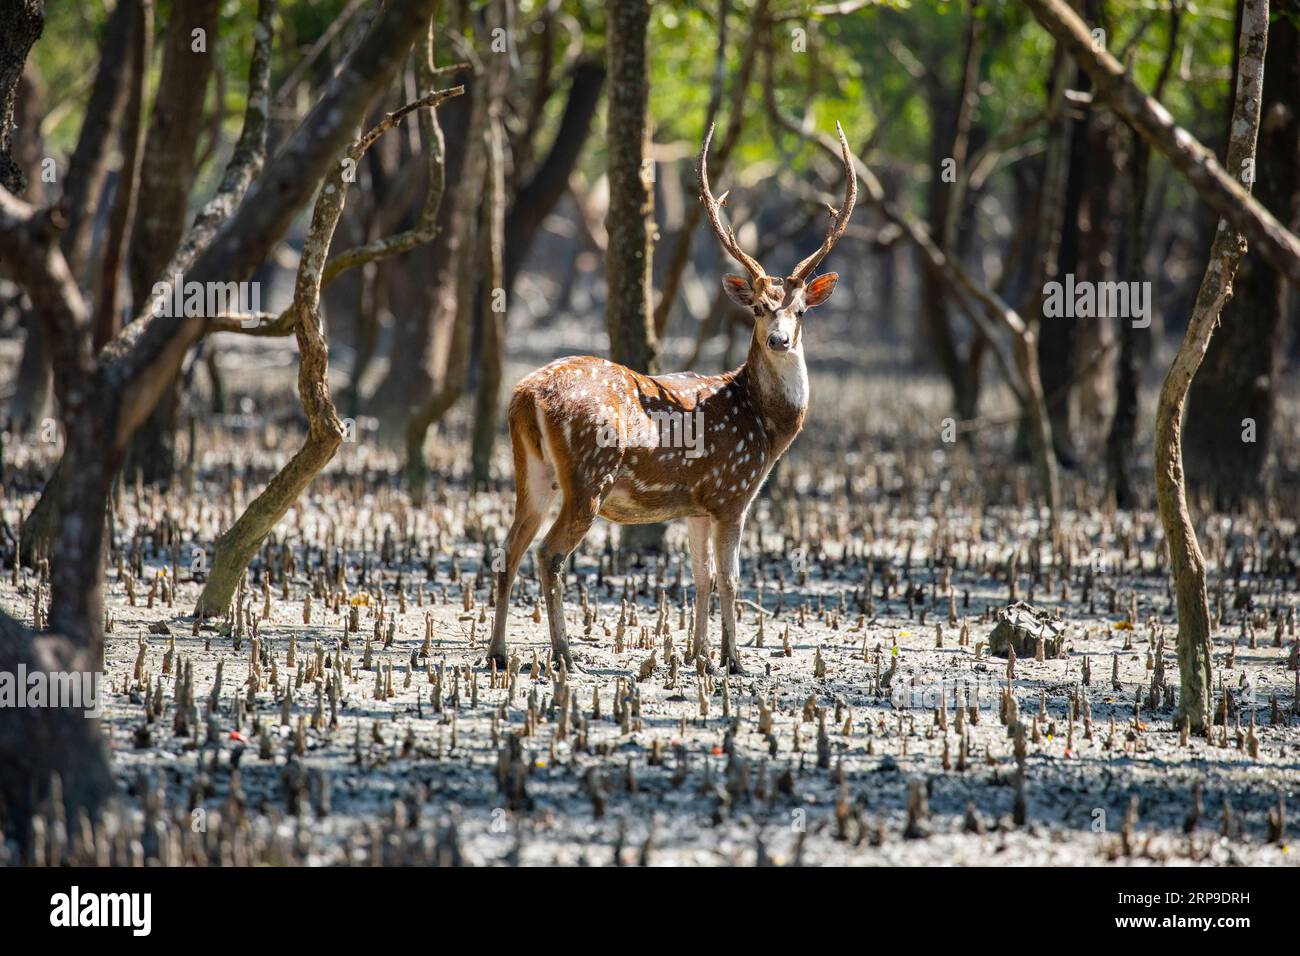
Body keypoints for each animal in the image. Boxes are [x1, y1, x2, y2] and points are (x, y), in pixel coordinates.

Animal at [486, 122, 857, 675]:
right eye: (759, 308)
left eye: (801, 311)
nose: (779, 340)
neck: (768, 430)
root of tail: (526, 394)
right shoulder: (733, 492)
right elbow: (731, 578)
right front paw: (733, 660)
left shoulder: (698, 505)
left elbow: (701, 576)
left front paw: (697, 655)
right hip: (588, 474)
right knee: (549, 553)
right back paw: (565, 654)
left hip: (531, 472)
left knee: (509, 548)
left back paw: (498, 653)